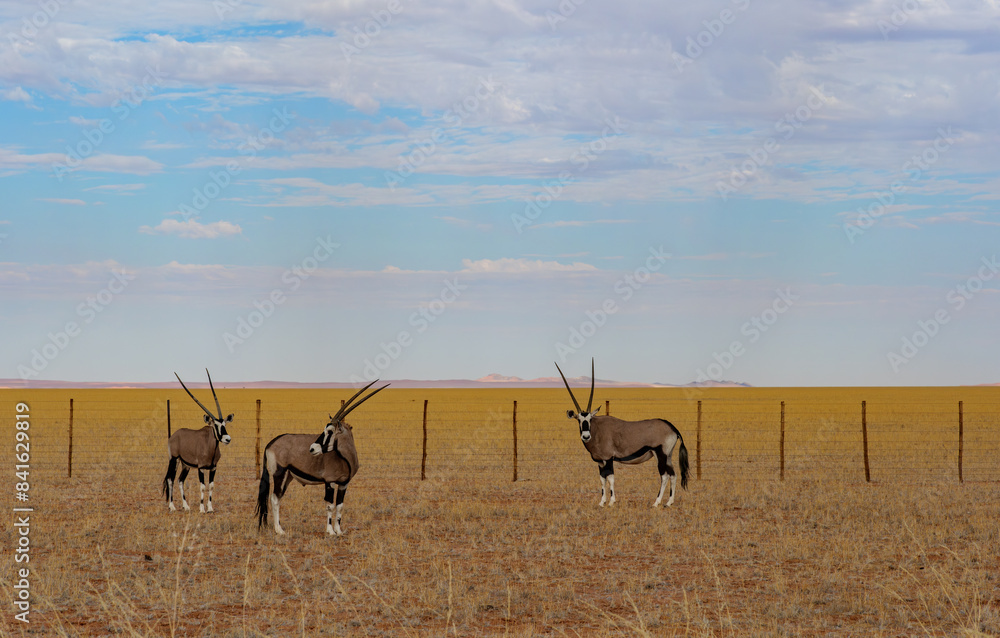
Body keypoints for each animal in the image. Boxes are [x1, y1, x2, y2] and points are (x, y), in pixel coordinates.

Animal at [162, 370, 233, 513]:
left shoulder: (213, 467)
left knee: (180, 480)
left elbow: (211, 485)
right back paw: (172, 506)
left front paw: (210, 508)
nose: (227, 439)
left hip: (185, 464)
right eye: (215, 425)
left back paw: (186, 506)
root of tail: (173, 435)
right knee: (170, 479)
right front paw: (201, 508)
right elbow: (203, 486)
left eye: (224, 424)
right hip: (174, 459)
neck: (210, 446)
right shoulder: (201, 468)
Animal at [255, 380, 388, 536]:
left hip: (288, 476)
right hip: (279, 473)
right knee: (274, 498)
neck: (345, 458)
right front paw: (330, 531)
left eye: (330, 431)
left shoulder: (344, 483)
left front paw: (339, 531)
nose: (312, 448)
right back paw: (279, 530)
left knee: (279, 497)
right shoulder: (329, 481)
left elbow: (340, 505)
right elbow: (330, 505)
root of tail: (271, 443)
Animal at [556, 359, 689, 508]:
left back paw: (656, 502)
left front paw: (611, 502)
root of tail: (672, 427)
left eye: (590, 419)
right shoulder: (599, 462)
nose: (586, 436)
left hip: (660, 454)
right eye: (579, 420)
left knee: (664, 476)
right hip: (668, 455)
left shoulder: (608, 459)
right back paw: (669, 502)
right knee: (673, 474)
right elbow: (602, 479)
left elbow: (611, 478)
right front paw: (602, 502)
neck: (597, 430)